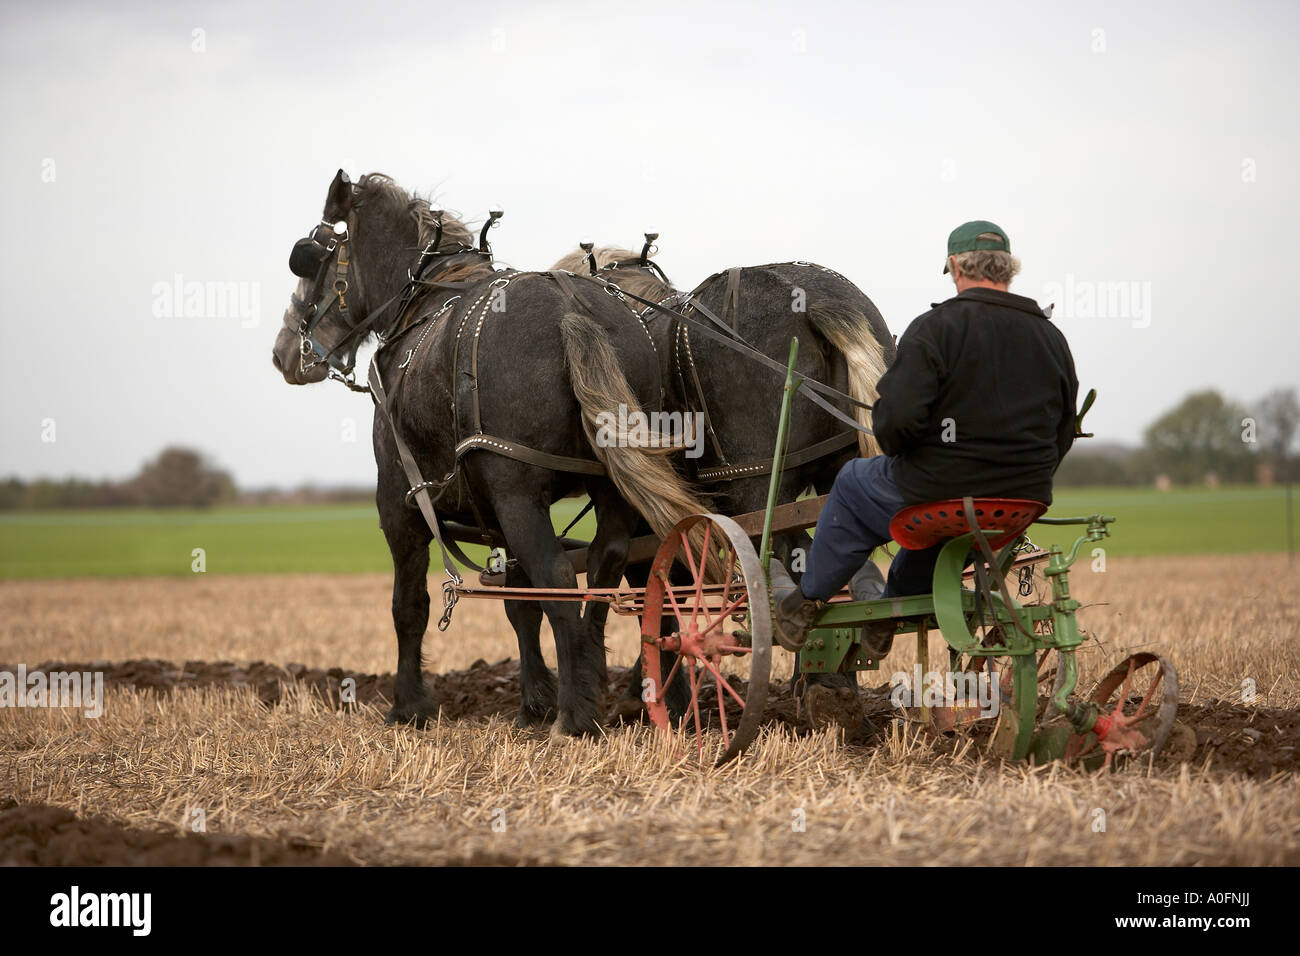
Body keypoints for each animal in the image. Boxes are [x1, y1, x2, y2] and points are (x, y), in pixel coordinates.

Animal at [271, 172, 711, 736]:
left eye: (309, 259)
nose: (283, 352)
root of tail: (572, 306)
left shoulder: (399, 498)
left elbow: (409, 605)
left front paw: (408, 707)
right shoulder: (495, 508)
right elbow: (520, 604)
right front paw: (532, 701)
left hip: (517, 490)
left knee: (560, 577)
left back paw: (577, 715)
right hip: (605, 490)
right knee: (608, 569)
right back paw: (600, 689)